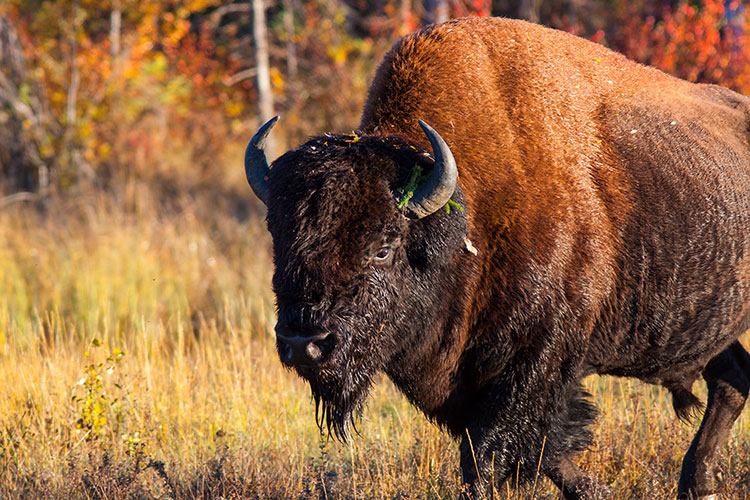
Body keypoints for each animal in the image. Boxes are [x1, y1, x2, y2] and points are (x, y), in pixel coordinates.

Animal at [244, 17, 750, 500]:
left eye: (384, 247)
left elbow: (492, 455)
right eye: (280, 238)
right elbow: (543, 452)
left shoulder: (532, 364)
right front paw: (598, 490)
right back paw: (698, 485)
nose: (304, 343)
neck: (468, 209)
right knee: (732, 380)